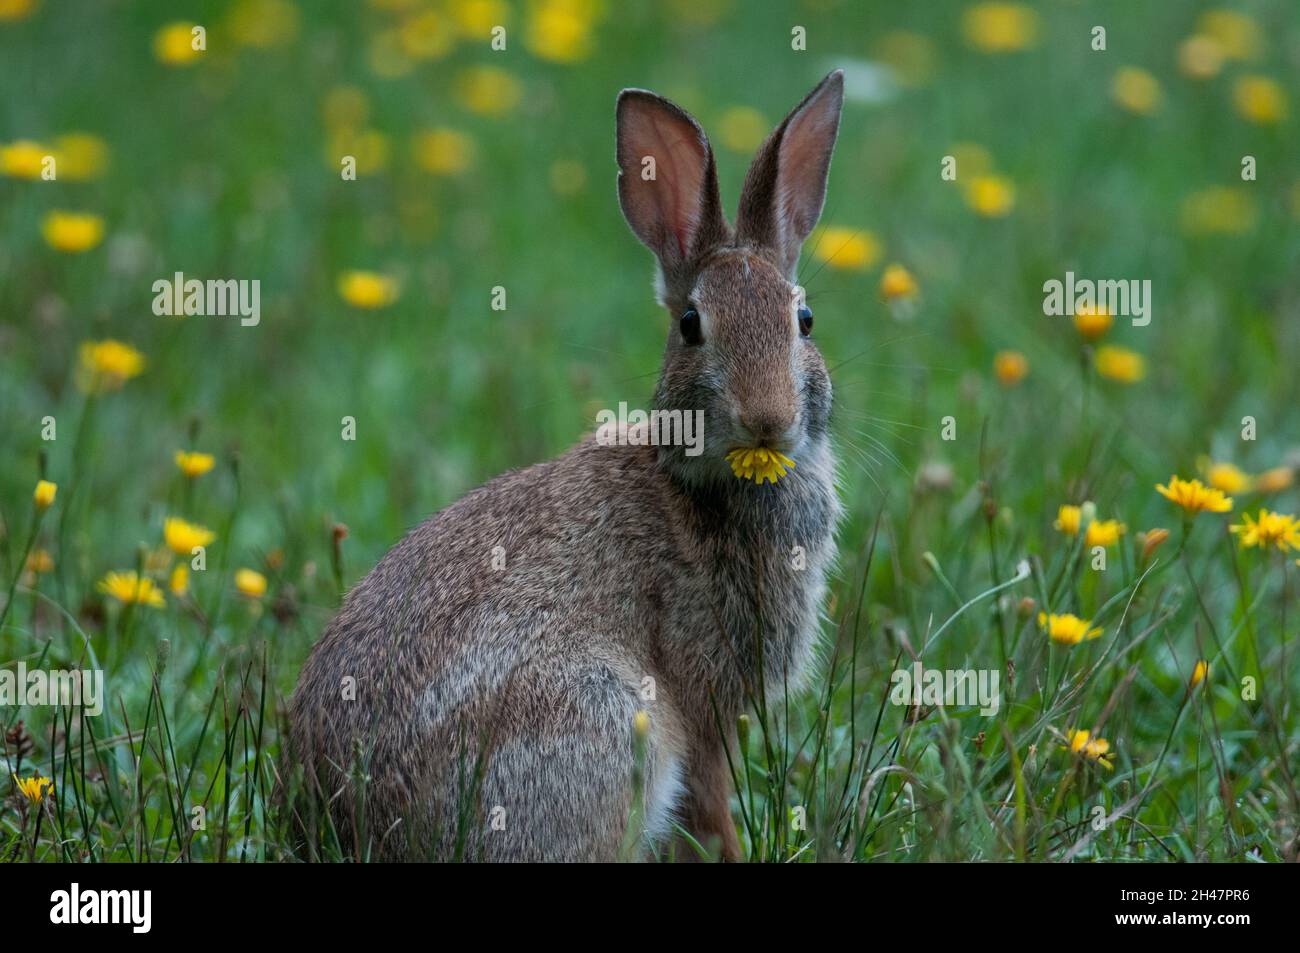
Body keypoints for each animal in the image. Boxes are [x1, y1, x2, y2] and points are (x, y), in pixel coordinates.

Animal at [289, 70, 845, 862]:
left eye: (804, 321)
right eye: (691, 326)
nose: (767, 418)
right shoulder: (699, 701)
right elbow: (710, 803)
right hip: (599, 719)